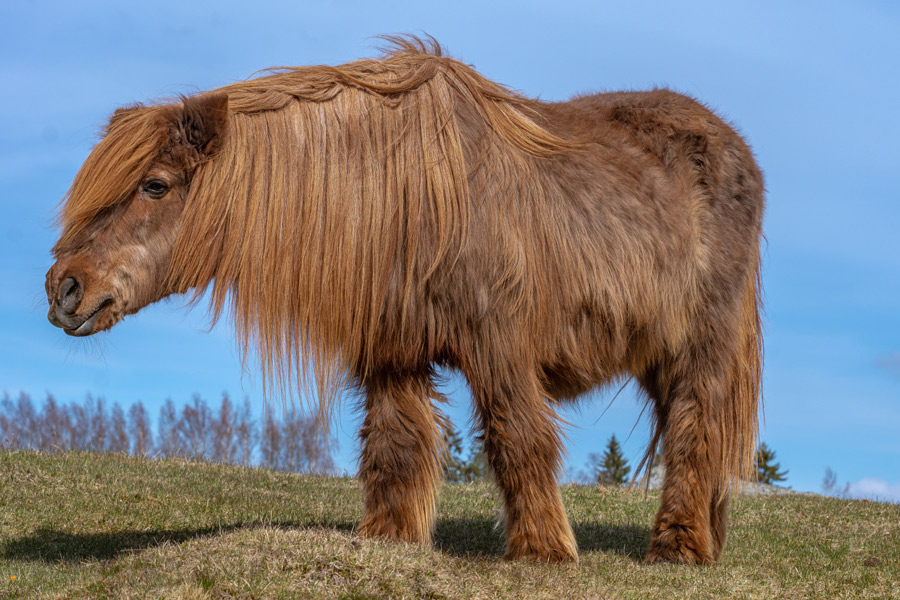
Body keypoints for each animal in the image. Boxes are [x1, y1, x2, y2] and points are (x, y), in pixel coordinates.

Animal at [45, 36, 763, 565]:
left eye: (156, 185)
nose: (64, 288)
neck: (403, 196)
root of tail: (734, 148)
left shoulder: (499, 344)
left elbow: (517, 436)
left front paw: (542, 552)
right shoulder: (393, 352)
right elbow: (395, 445)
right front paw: (388, 540)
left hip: (702, 345)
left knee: (695, 431)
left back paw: (677, 549)